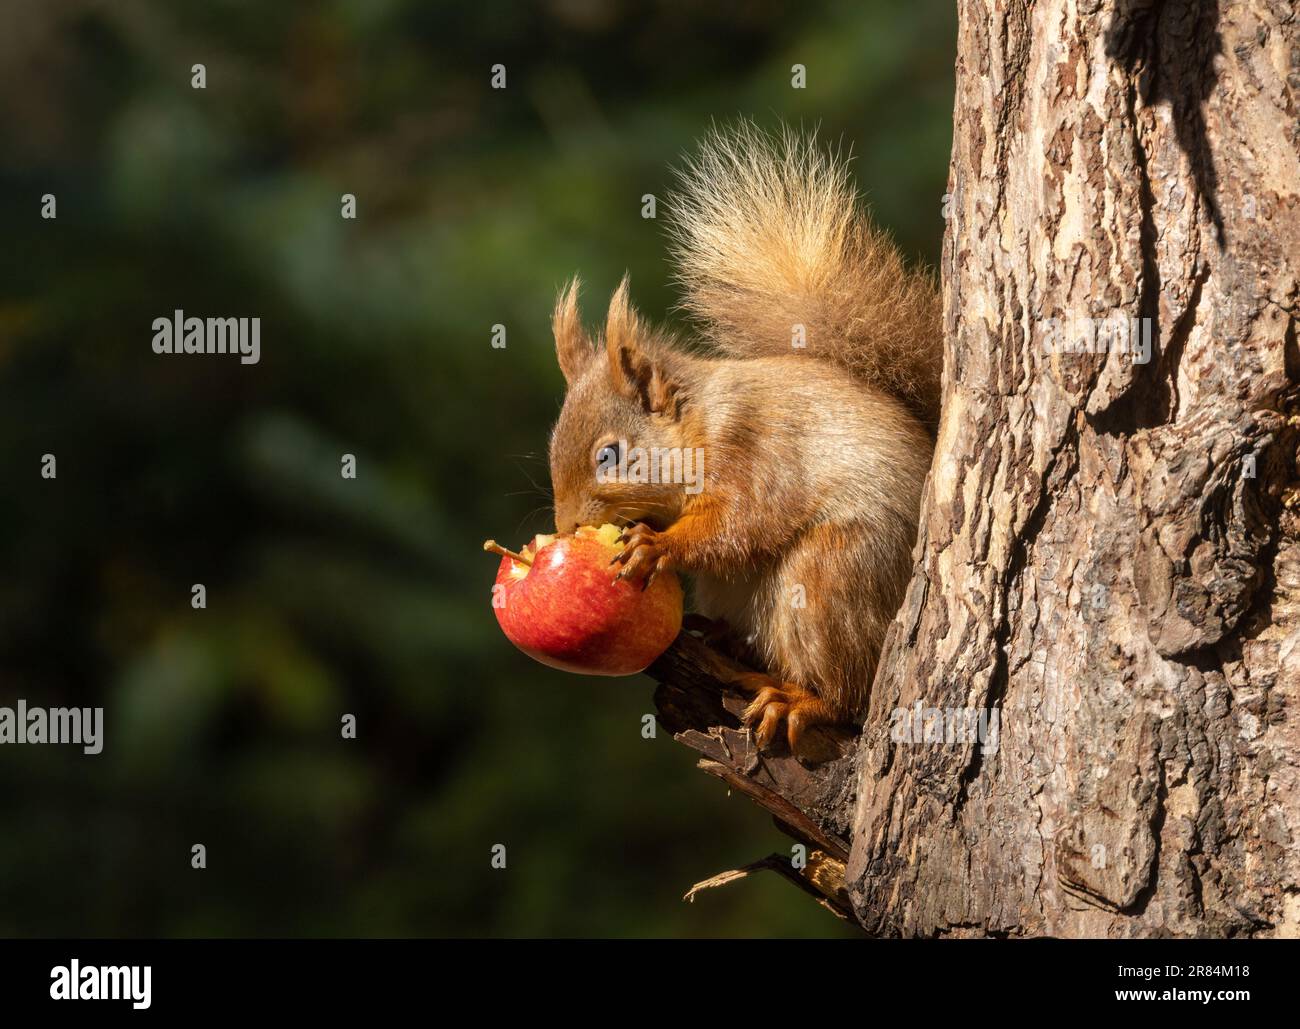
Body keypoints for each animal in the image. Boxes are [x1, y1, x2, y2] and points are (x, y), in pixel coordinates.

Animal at [546, 123, 941, 755]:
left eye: (609, 455)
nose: (565, 530)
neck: (701, 423)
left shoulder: (755, 447)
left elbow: (742, 521)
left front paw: (656, 546)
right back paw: (723, 641)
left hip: (833, 575)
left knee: (848, 694)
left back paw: (798, 699)